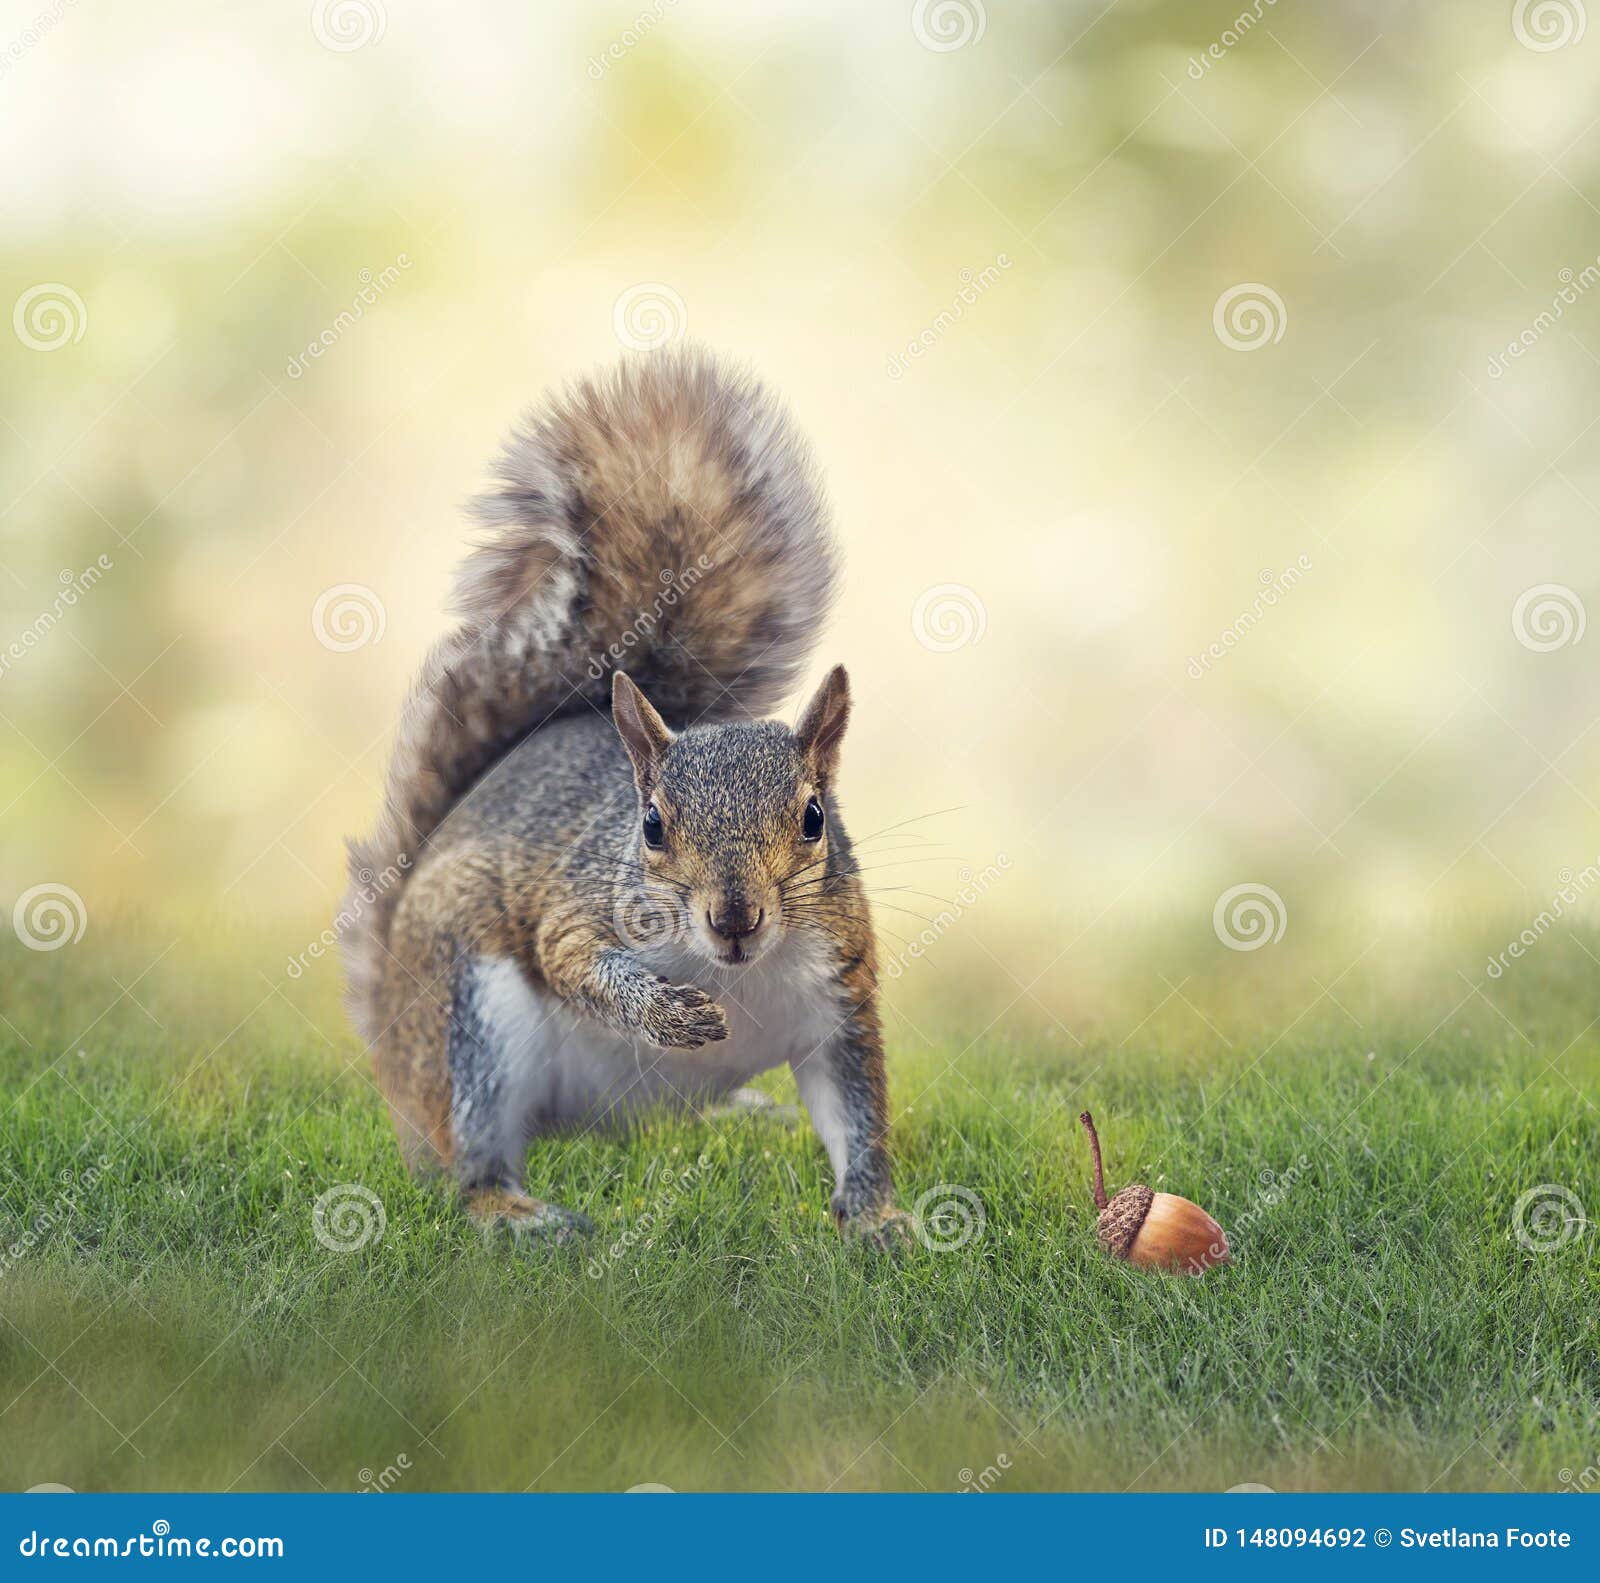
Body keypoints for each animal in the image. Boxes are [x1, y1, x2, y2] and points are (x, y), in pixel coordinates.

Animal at [341, 346, 911, 1247]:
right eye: (650, 825)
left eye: (815, 818)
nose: (735, 918)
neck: (736, 973)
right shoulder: (577, 906)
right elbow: (571, 958)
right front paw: (667, 1014)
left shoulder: (842, 997)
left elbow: (860, 1114)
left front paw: (875, 1215)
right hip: (466, 1019)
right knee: (468, 1167)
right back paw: (521, 1214)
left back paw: (747, 1115)